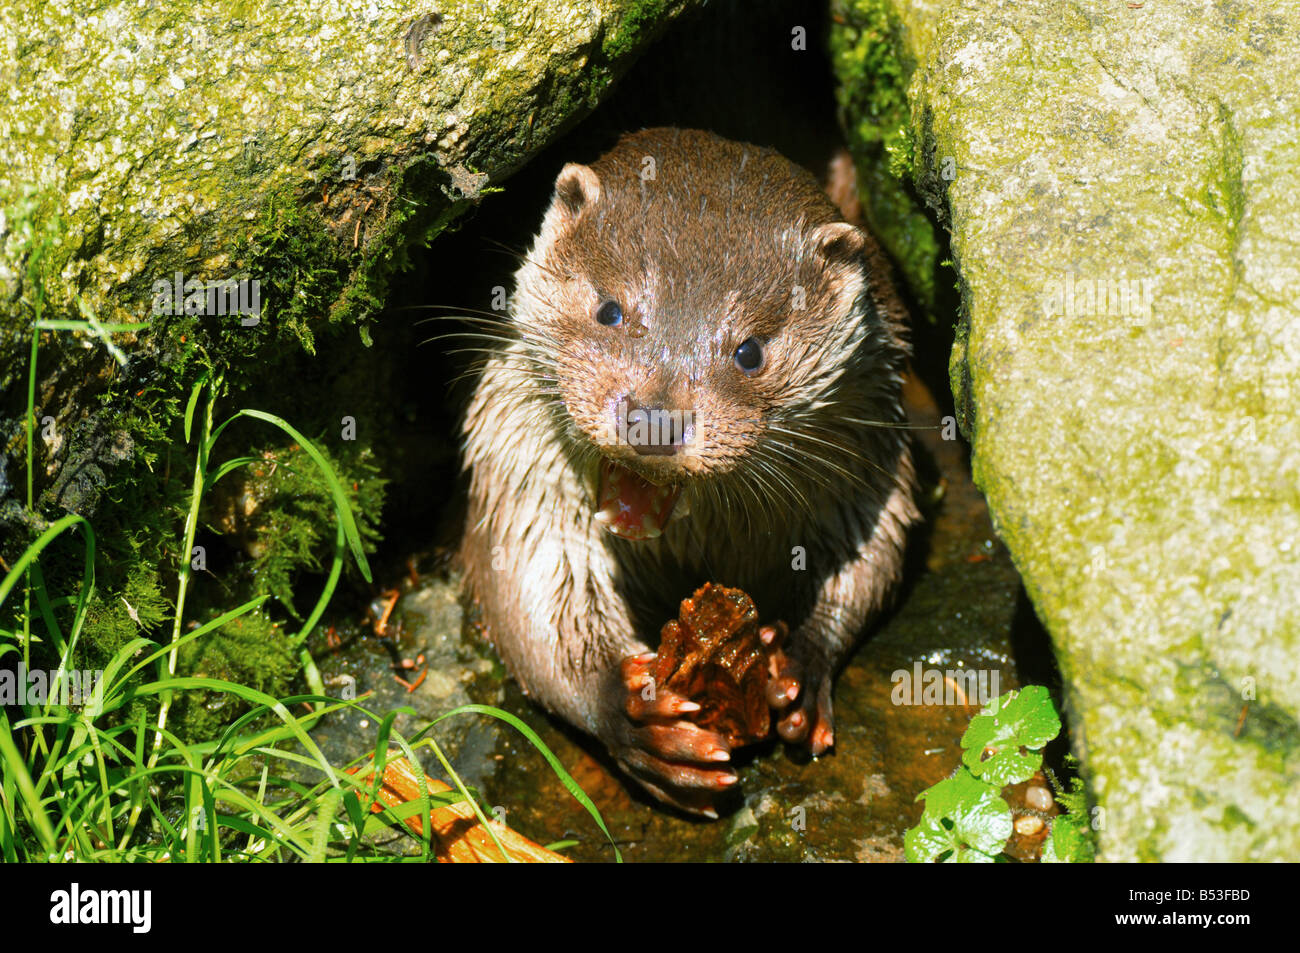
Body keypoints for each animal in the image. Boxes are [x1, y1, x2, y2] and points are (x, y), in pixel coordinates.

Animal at [460, 128, 918, 816]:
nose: (654, 421)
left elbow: (871, 555)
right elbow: (530, 590)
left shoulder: (870, 458)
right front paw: (630, 716)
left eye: (750, 352)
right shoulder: (518, 463)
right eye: (609, 310)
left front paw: (802, 665)